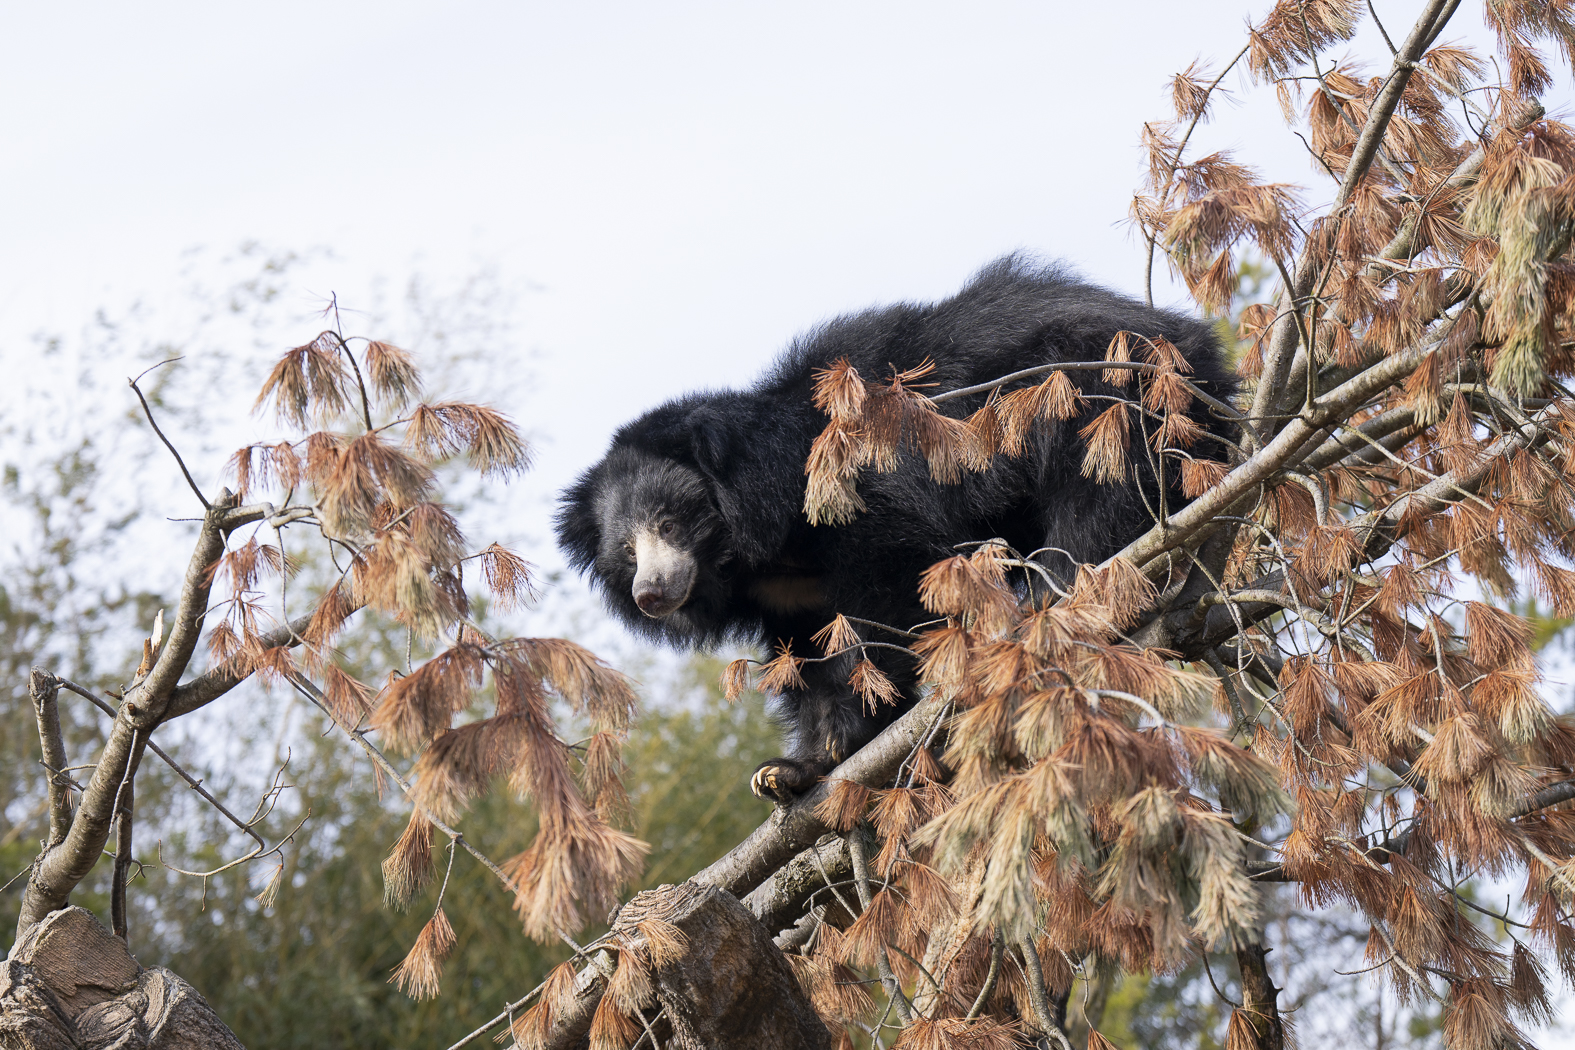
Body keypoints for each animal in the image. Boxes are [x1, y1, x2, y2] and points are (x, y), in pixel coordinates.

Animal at [556, 255, 1236, 801]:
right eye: (626, 550)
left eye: (669, 523)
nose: (650, 594)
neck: (768, 546)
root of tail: (1197, 346)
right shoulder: (790, 596)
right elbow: (810, 657)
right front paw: (789, 770)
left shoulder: (865, 503)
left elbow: (882, 609)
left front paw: (865, 727)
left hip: (1095, 402)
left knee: (1096, 505)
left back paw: (1066, 597)